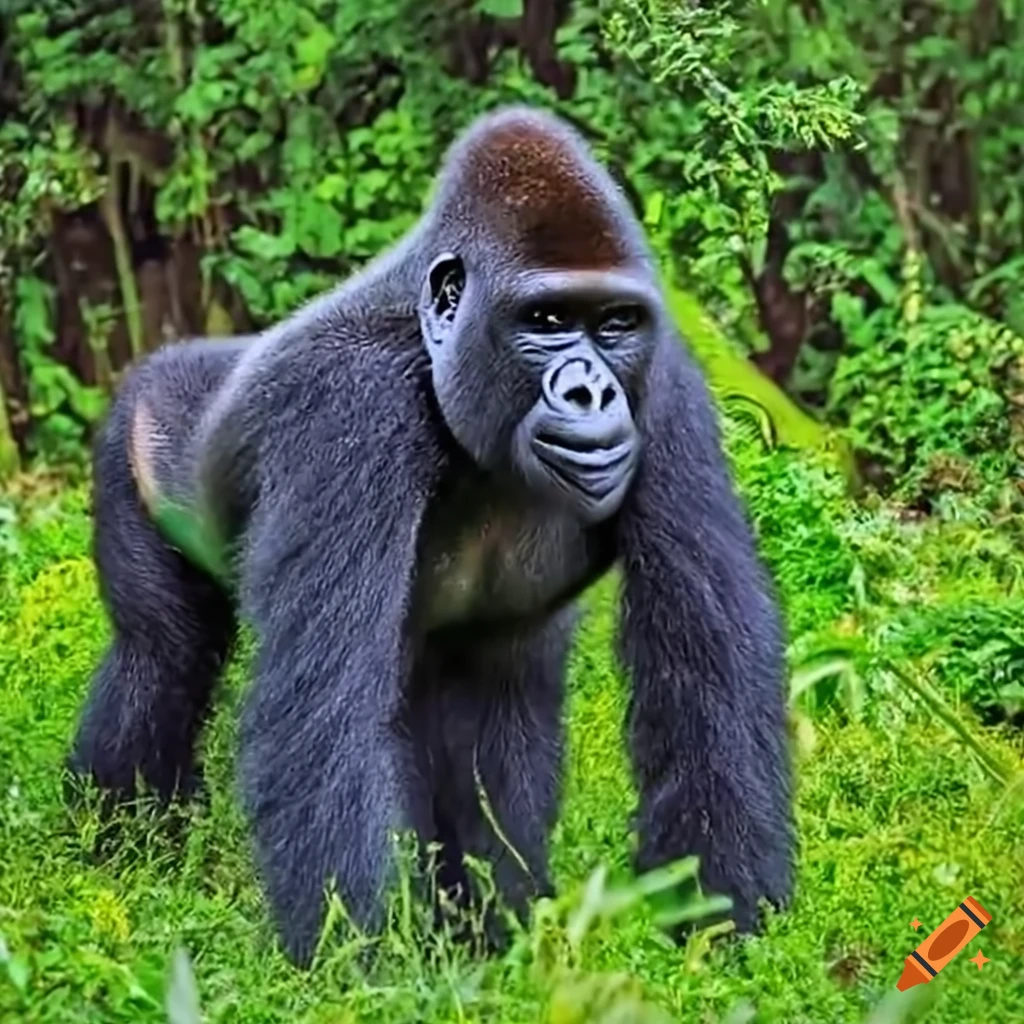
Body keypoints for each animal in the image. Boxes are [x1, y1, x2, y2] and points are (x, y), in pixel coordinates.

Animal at [67, 106, 794, 966]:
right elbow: (323, 710)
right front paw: (349, 964)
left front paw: (726, 934)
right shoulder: (346, 401)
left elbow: (706, 666)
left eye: (615, 324)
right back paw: (114, 856)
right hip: (132, 436)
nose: (590, 391)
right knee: (160, 656)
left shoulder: (669, 380)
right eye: (547, 323)